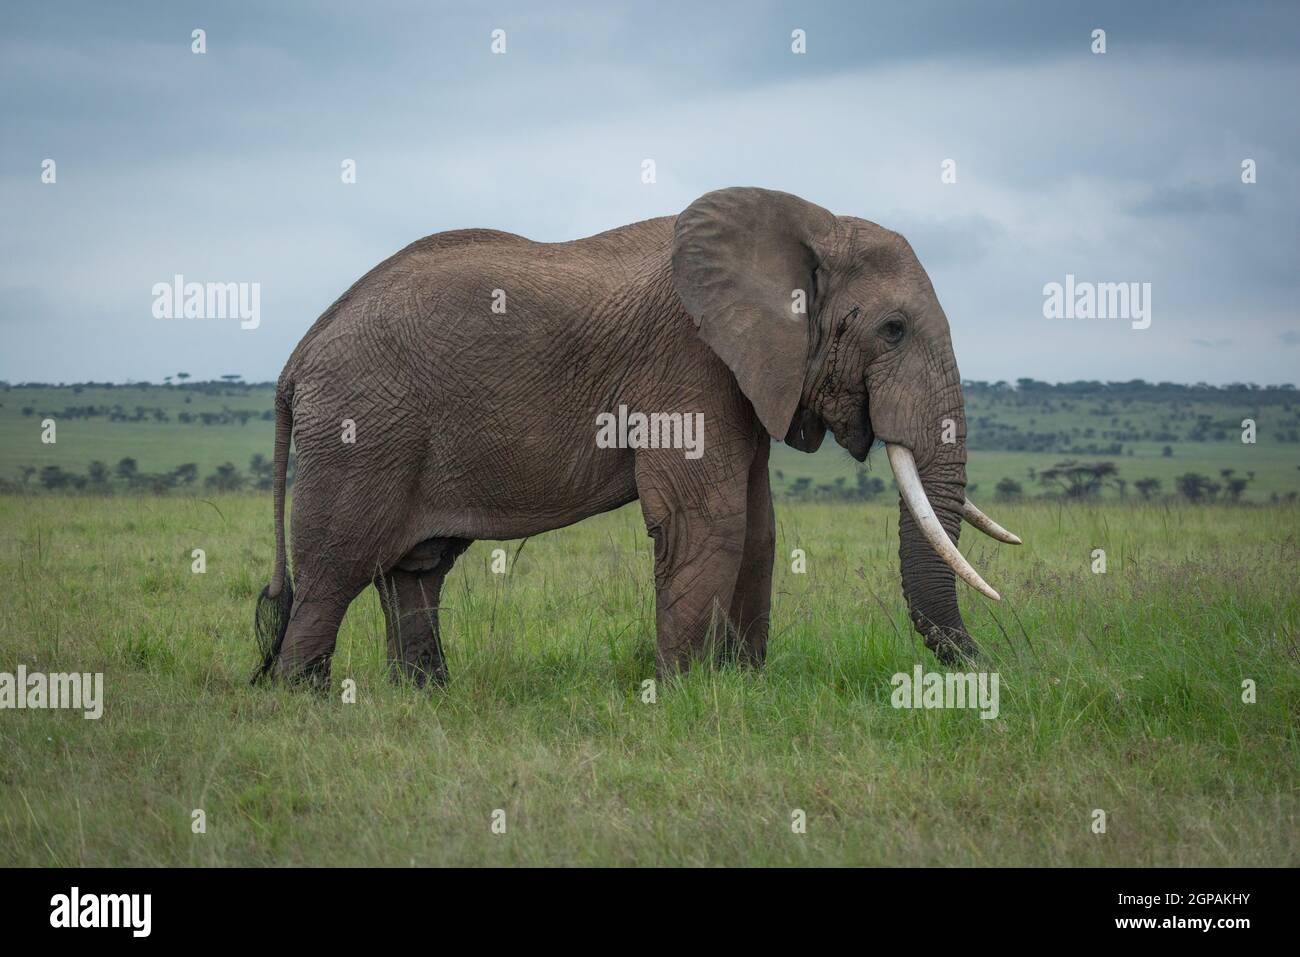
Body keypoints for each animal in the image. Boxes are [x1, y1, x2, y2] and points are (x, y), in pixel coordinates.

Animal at [251, 186, 1022, 688]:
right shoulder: (688, 361)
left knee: (414, 571)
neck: (808, 225)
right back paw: (304, 700)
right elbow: (710, 520)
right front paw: (683, 696)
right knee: (336, 571)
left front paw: (741, 686)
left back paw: (426, 694)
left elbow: (758, 527)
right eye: (893, 329)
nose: (991, 664)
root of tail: (298, 354)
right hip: (360, 431)